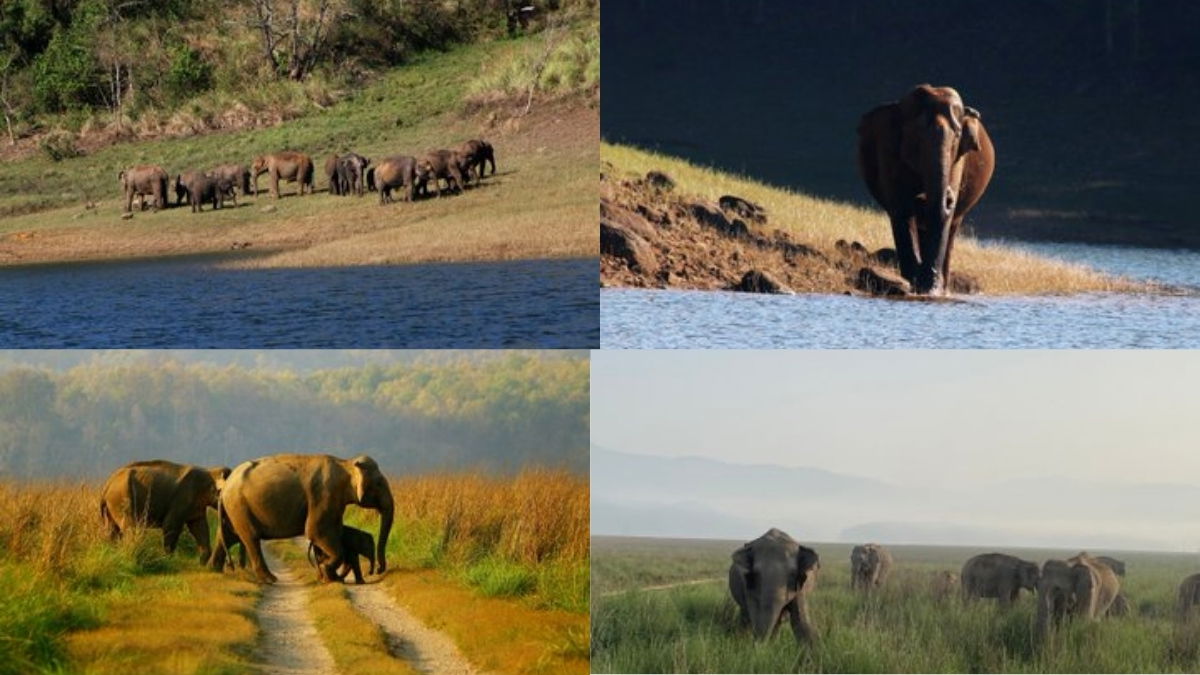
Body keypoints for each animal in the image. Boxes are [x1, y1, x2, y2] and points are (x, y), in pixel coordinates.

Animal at [99, 460, 231, 561]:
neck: (209, 472)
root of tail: (106, 486)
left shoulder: (196, 506)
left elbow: (199, 527)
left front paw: (204, 560)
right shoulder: (182, 498)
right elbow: (171, 525)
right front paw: (168, 558)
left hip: (111, 506)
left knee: (111, 530)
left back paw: (112, 553)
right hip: (122, 499)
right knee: (130, 528)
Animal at [209, 453, 393, 584]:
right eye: (379, 483)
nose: (378, 570)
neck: (346, 463)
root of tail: (225, 486)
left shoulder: (333, 502)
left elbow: (330, 533)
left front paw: (328, 576)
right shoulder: (323, 496)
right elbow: (316, 531)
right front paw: (327, 572)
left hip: (233, 510)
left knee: (228, 536)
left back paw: (214, 570)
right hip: (239, 508)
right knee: (250, 538)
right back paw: (270, 579)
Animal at [857, 84, 995, 294]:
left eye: (956, 135)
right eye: (917, 135)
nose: (948, 196)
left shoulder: (958, 161)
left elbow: (943, 215)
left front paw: (930, 289)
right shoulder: (888, 150)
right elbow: (902, 209)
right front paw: (914, 283)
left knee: (952, 228)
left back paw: (944, 286)